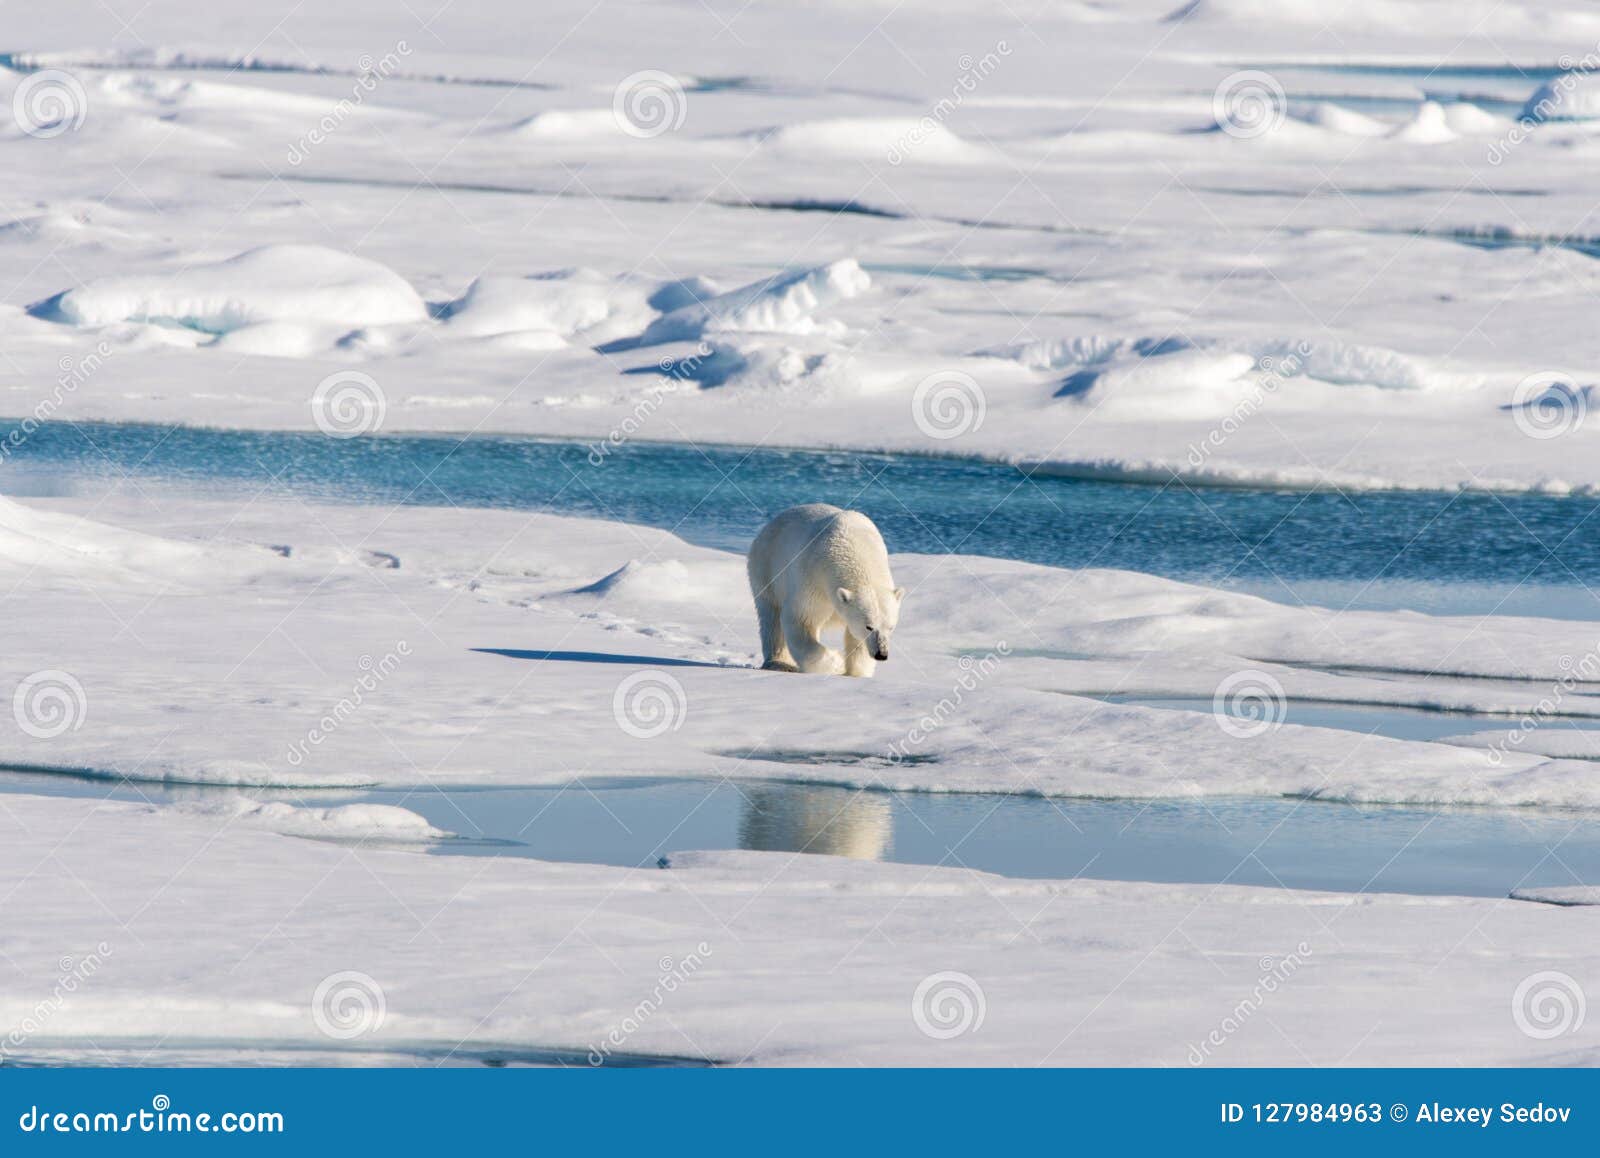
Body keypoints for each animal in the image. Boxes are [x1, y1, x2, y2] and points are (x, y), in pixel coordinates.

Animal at [746, 503, 905, 678]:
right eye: (869, 626)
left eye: (891, 627)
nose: (881, 654)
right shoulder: (813, 580)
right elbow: (801, 620)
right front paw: (836, 664)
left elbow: (856, 638)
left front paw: (856, 673)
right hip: (766, 568)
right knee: (771, 617)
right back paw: (779, 663)